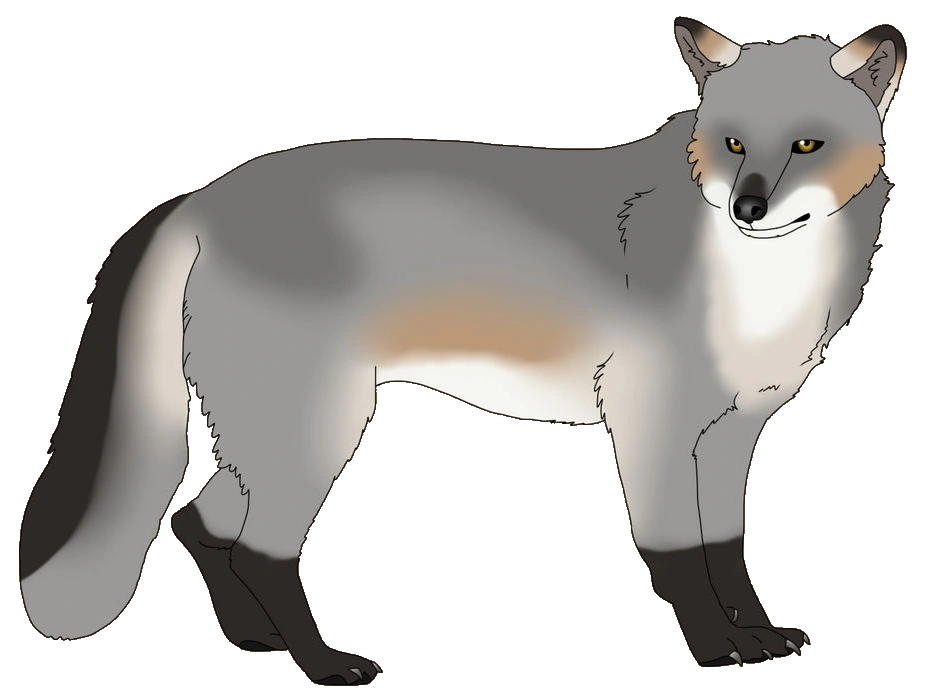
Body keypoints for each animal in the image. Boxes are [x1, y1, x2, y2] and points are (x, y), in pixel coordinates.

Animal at [19, 18, 905, 680]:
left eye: (806, 147)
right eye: (731, 144)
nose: (748, 208)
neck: (759, 295)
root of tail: (197, 199)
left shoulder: (732, 433)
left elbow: (726, 550)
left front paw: (756, 636)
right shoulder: (653, 420)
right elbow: (679, 551)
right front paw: (718, 649)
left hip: (276, 430)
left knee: (199, 520)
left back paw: (253, 640)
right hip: (317, 426)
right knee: (258, 546)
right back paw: (321, 663)